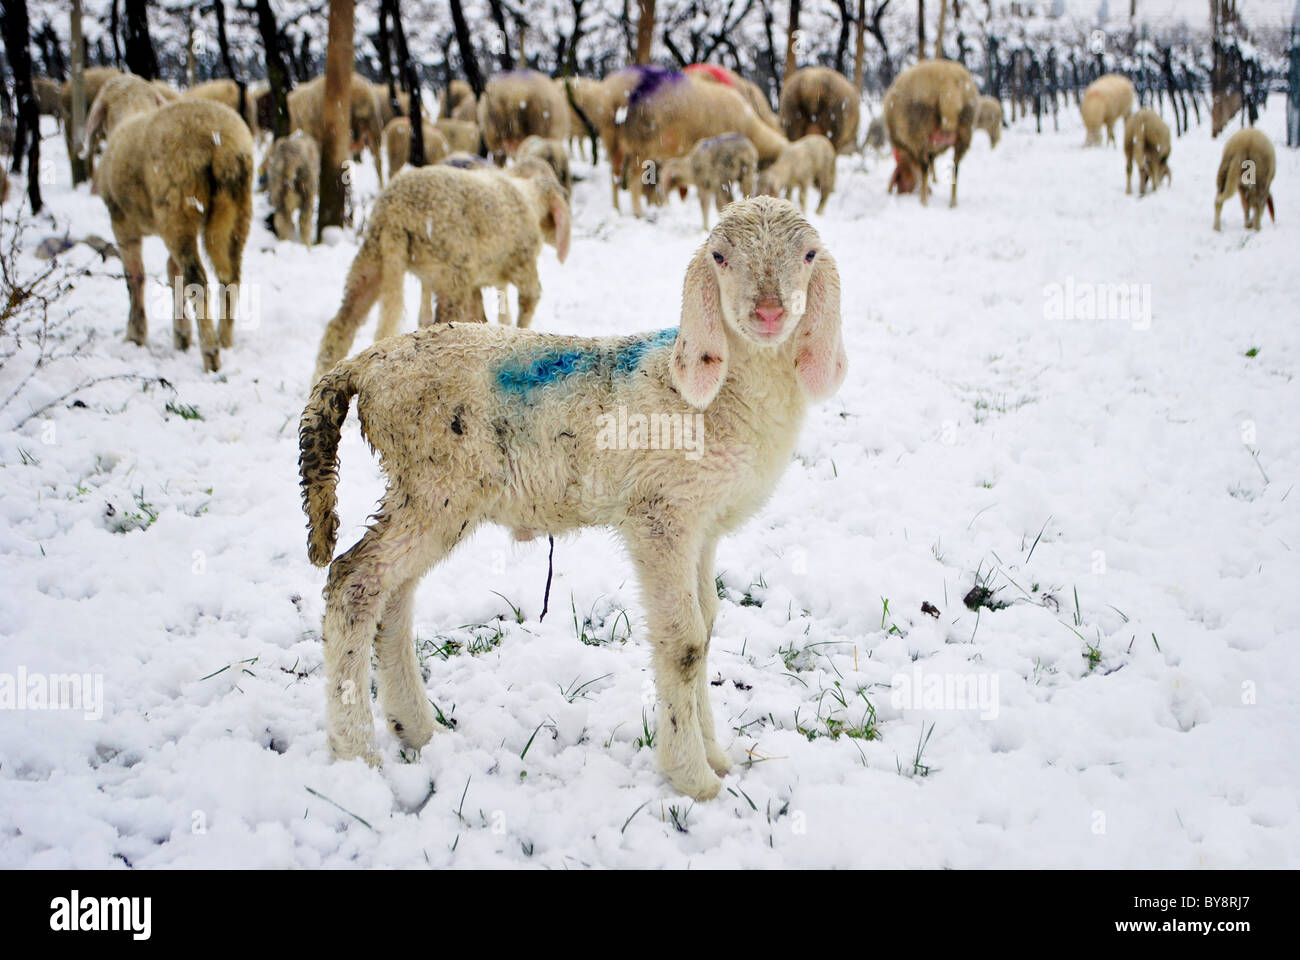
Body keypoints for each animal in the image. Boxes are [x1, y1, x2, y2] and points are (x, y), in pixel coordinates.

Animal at [93, 98, 253, 373]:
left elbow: (135, 277)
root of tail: (220, 142)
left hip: (176, 207)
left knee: (197, 280)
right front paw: (182, 335)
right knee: (229, 277)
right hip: (235, 207)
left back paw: (211, 354)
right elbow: (172, 272)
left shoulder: (121, 223)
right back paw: (224, 340)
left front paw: (135, 335)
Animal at [298, 196, 846, 799]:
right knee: (354, 581)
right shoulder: (659, 517)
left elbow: (706, 625)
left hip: (424, 491)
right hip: (434, 483)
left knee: (392, 595)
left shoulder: (701, 526)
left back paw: (413, 728)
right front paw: (694, 779)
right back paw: (355, 752)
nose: (769, 312)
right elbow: (683, 642)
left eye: (809, 254)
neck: (715, 395)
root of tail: (364, 363)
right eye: (720, 257)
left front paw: (719, 758)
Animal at [312, 159, 571, 381]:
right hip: (451, 272)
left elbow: (480, 316)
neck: (528, 196)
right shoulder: (523, 265)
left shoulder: (476, 282)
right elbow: (530, 300)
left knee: (341, 324)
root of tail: (397, 213)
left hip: (372, 259)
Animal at [603, 68, 790, 218]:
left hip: (618, 143)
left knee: (614, 175)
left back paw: (616, 209)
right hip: (643, 146)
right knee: (633, 178)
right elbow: (722, 197)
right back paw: (638, 212)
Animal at [883, 59, 979, 207]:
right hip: (965, 130)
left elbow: (922, 170)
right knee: (955, 168)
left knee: (924, 167)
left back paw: (923, 201)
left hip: (920, 130)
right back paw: (952, 202)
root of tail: (948, 82)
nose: (900, 192)